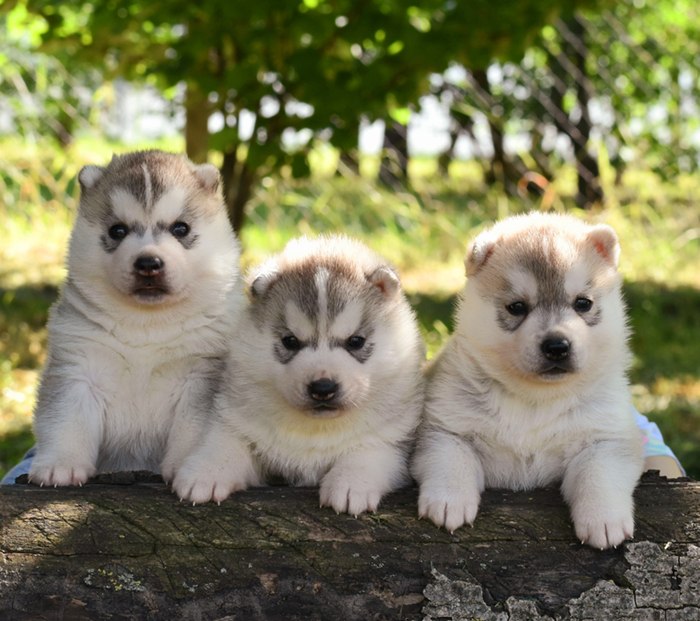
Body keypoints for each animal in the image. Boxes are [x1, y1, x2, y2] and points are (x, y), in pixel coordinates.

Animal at [29, 149, 243, 484]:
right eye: (118, 230)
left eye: (180, 228)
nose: (148, 263)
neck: (147, 327)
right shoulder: (77, 367)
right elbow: (66, 418)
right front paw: (60, 463)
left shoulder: (201, 375)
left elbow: (193, 429)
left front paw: (188, 466)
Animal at [172, 235, 424, 516]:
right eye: (290, 341)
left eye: (356, 341)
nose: (323, 388)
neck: (314, 431)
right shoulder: (241, 425)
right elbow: (225, 445)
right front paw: (204, 473)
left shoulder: (391, 439)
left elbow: (367, 453)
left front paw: (350, 485)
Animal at [410, 213, 644, 548]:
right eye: (517, 307)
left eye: (583, 303)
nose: (557, 346)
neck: (535, 400)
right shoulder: (446, 427)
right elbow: (451, 458)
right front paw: (448, 500)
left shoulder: (607, 437)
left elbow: (600, 472)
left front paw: (604, 518)